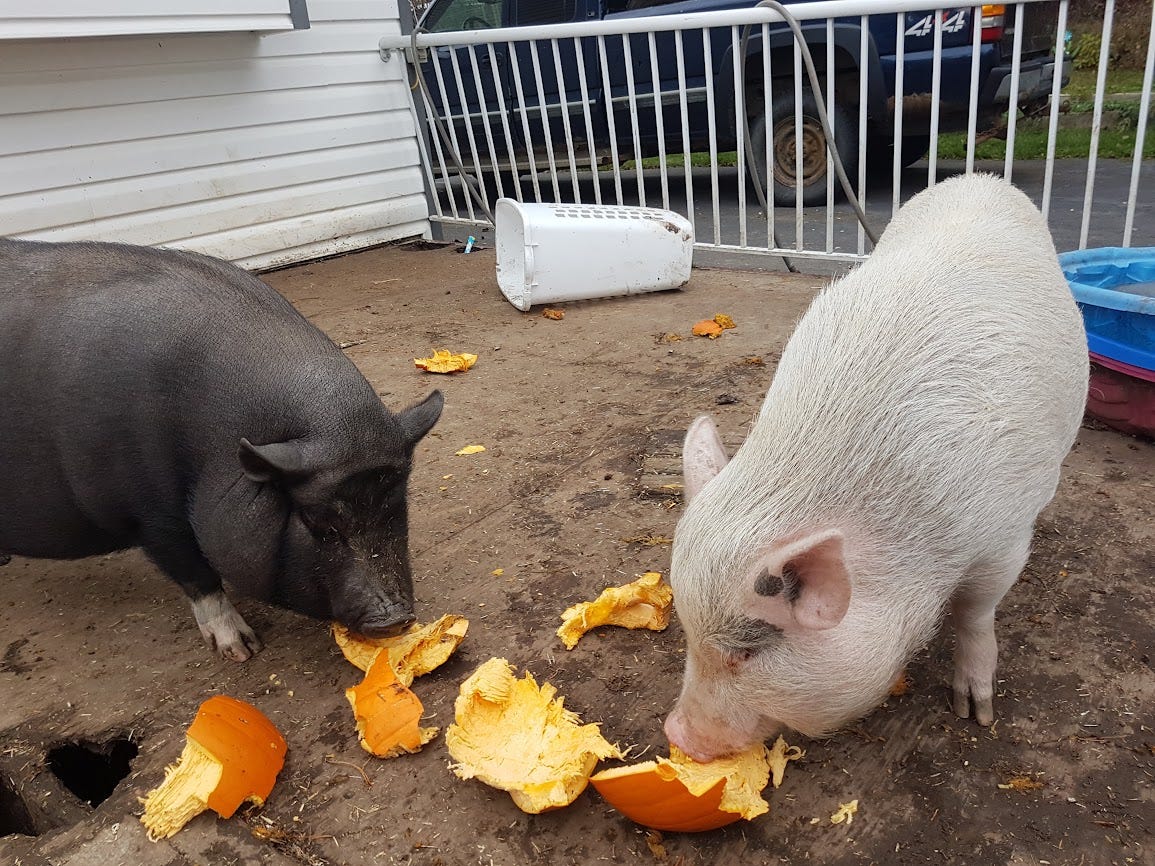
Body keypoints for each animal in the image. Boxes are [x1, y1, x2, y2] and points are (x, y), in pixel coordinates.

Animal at [0, 237, 443, 661]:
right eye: (321, 525)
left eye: (397, 508)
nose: (396, 619)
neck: (215, 448)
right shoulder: (151, 516)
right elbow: (196, 575)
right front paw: (243, 651)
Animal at [664, 173, 1088, 761]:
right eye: (686, 632)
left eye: (746, 652)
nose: (673, 732)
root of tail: (979, 178)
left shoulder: (1003, 539)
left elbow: (976, 613)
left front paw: (974, 713)